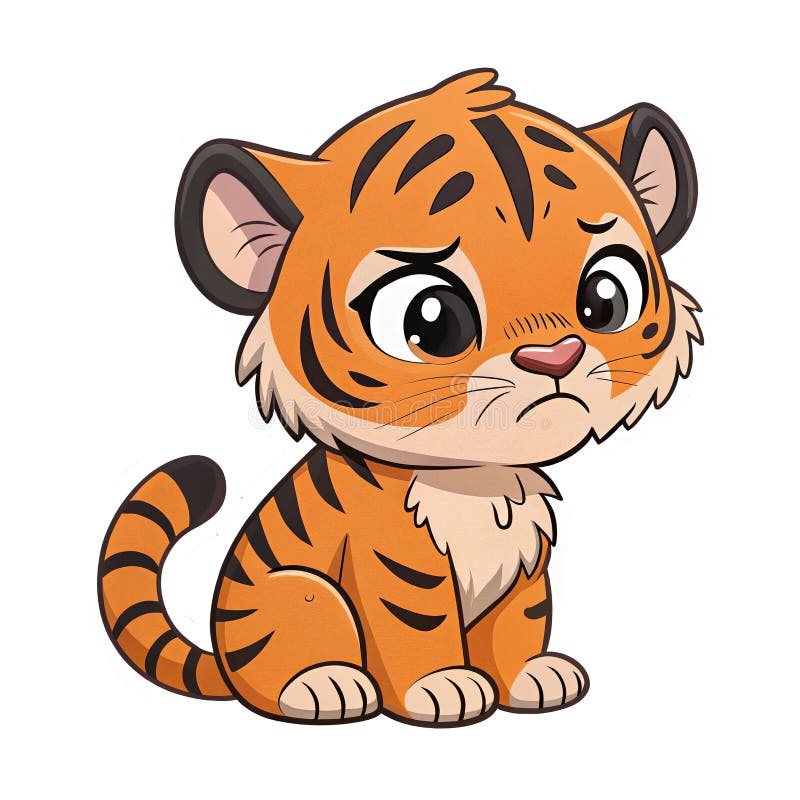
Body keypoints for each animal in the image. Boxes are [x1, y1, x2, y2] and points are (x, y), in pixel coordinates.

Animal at [98, 69, 702, 726]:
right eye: (431, 319)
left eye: (604, 299)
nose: (554, 357)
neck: (478, 478)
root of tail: (222, 662)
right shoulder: (393, 563)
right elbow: (418, 628)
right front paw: (443, 688)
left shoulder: (524, 564)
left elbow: (519, 620)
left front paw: (529, 677)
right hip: (300, 592)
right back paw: (324, 685)